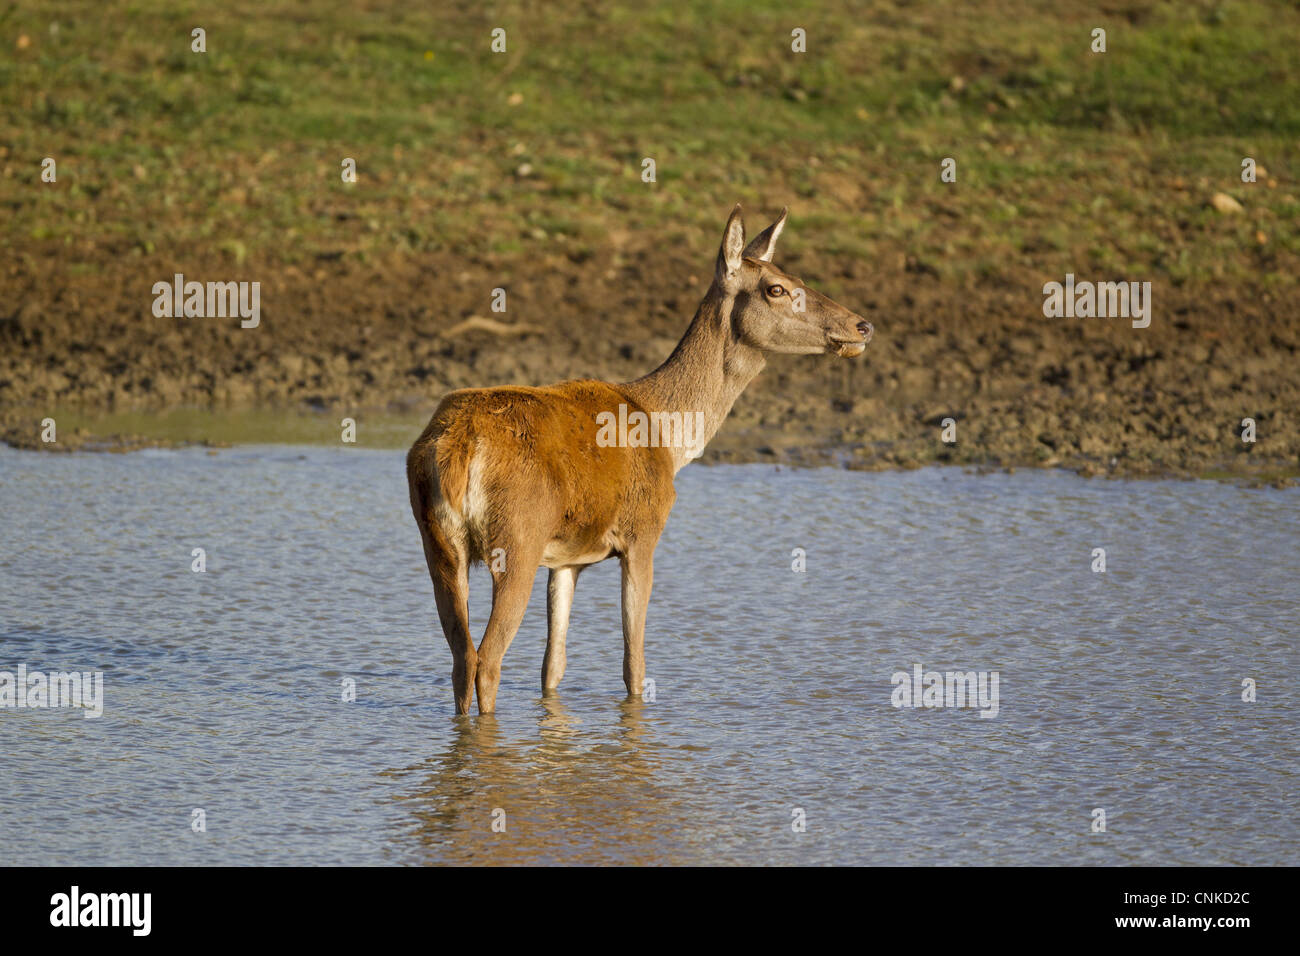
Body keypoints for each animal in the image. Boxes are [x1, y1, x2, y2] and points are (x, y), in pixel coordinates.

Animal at [406, 205, 873, 714]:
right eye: (776, 288)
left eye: (799, 277)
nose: (862, 326)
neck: (669, 438)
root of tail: (458, 447)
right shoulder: (642, 533)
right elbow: (635, 666)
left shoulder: (566, 559)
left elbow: (553, 666)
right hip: (516, 537)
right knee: (486, 660)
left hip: (438, 542)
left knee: (460, 658)